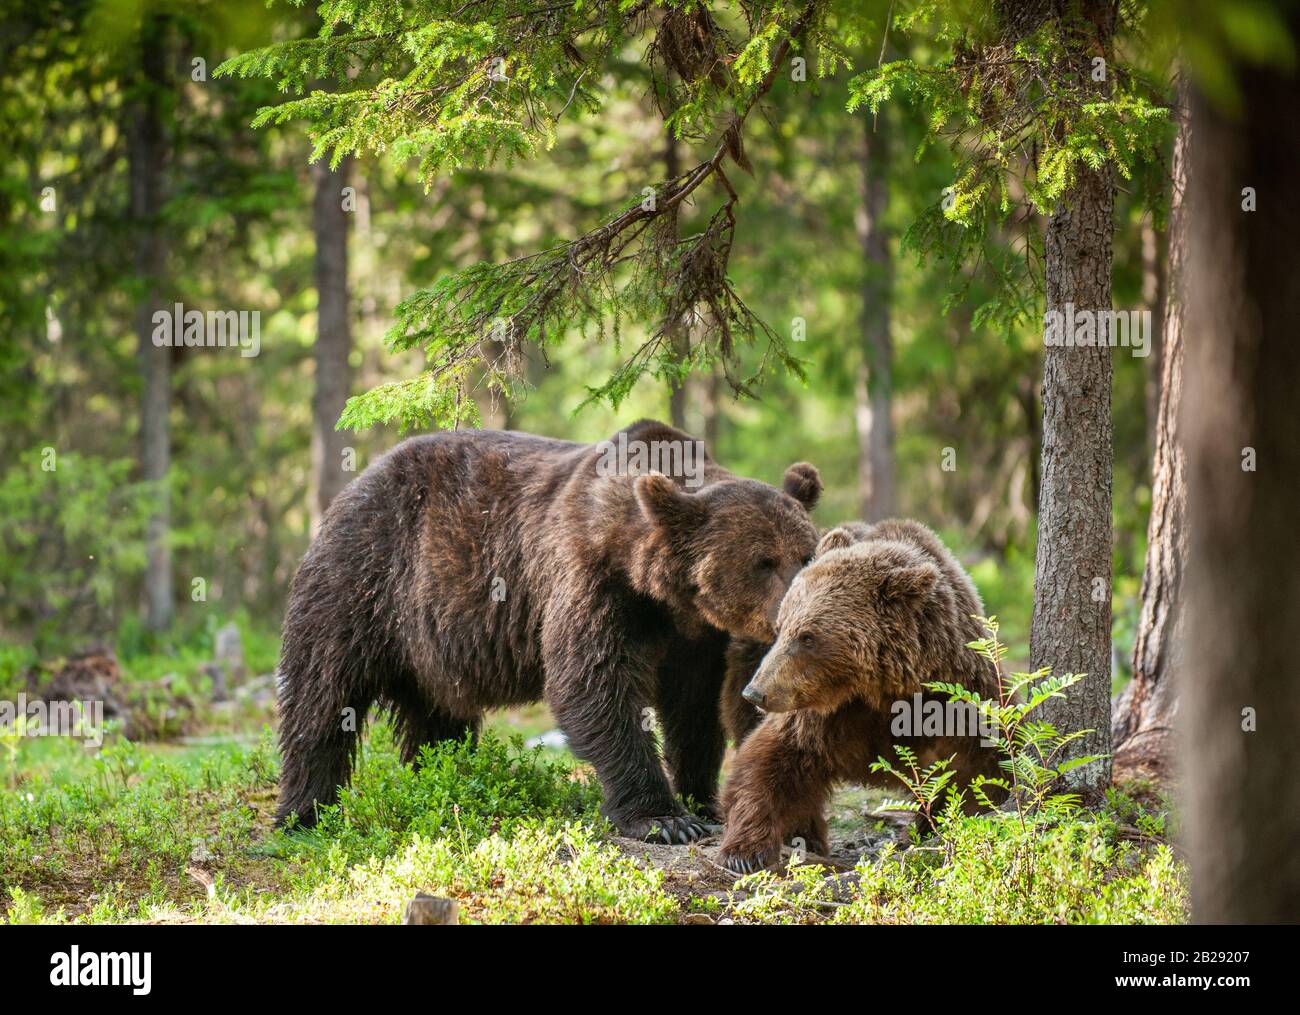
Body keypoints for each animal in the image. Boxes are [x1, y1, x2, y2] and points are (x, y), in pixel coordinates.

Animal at [274, 419, 822, 844]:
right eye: (763, 561)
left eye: (806, 552)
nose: (793, 614)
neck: (661, 592)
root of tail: (354, 485)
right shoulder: (588, 579)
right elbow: (593, 684)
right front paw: (662, 819)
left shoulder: (696, 635)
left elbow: (694, 707)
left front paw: (703, 802)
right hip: (363, 580)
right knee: (322, 698)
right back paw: (305, 814)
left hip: (430, 647)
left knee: (438, 721)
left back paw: (444, 777)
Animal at [716, 518, 1001, 872]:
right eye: (782, 627)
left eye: (808, 637)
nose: (756, 693)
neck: (880, 689)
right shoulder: (824, 715)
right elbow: (769, 762)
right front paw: (744, 852)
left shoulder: (954, 697)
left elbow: (978, 769)